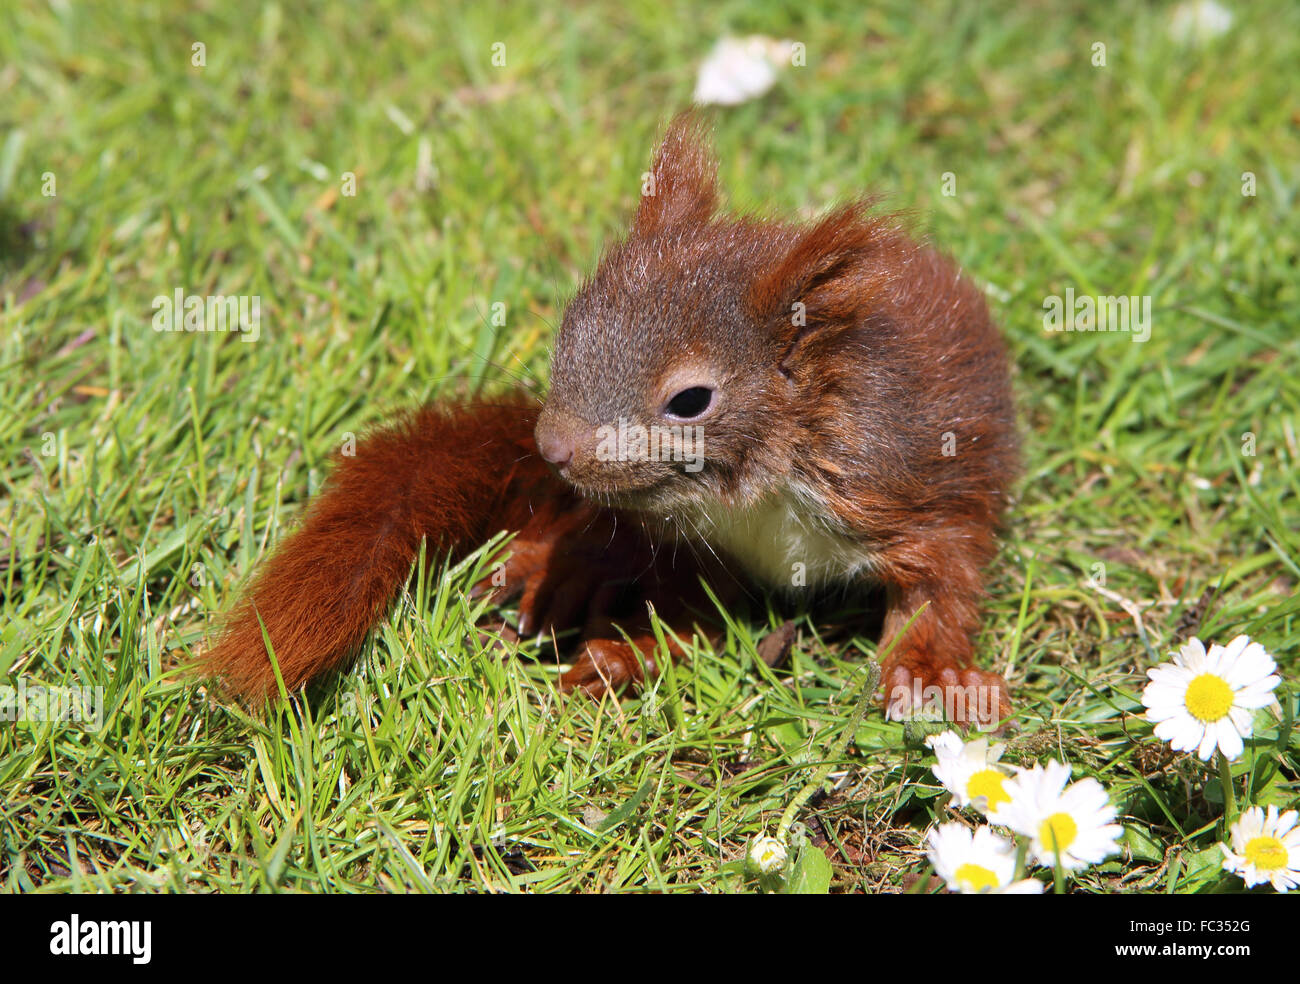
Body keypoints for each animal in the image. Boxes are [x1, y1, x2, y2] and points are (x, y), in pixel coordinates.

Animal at [201, 113, 1019, 726]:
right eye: (572, 326)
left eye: (691, 401)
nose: (551, 446)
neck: (758, 479)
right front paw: (609, 621)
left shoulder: (897, 481)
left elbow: (945, 576)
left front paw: (928, 673)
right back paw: (568, 577)